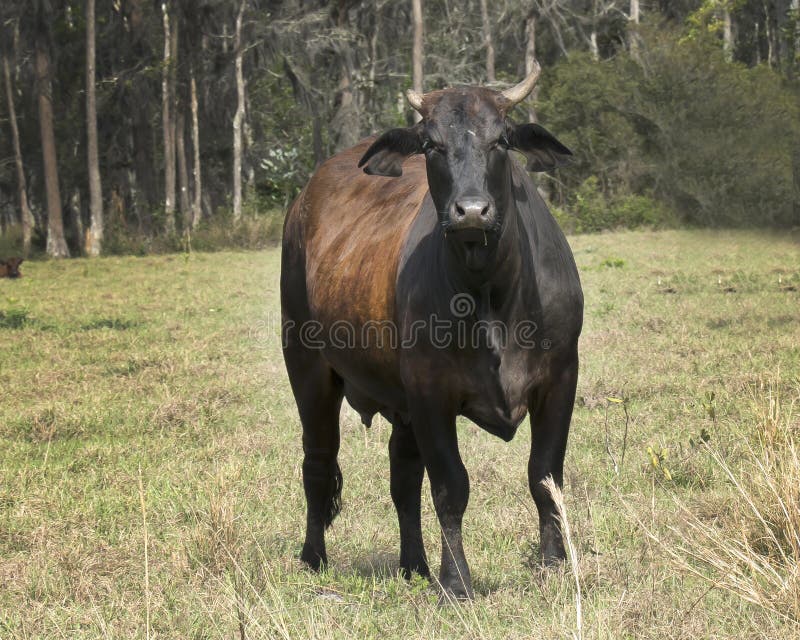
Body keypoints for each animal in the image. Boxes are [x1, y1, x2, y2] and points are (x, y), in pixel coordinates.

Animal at [280, 63, 583, 600]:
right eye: (431, 145)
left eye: (501, 140)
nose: (472, 211)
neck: (491, 295)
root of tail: (302, 202)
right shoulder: (429, 391)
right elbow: (450, 486)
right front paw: (456, 582)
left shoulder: (561, 378)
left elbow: (544, 476)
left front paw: (552, 565)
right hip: (307, 367)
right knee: (317, 463)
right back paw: (313, 558)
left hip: (398, 404)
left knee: (402, 476)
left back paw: (414, 564)